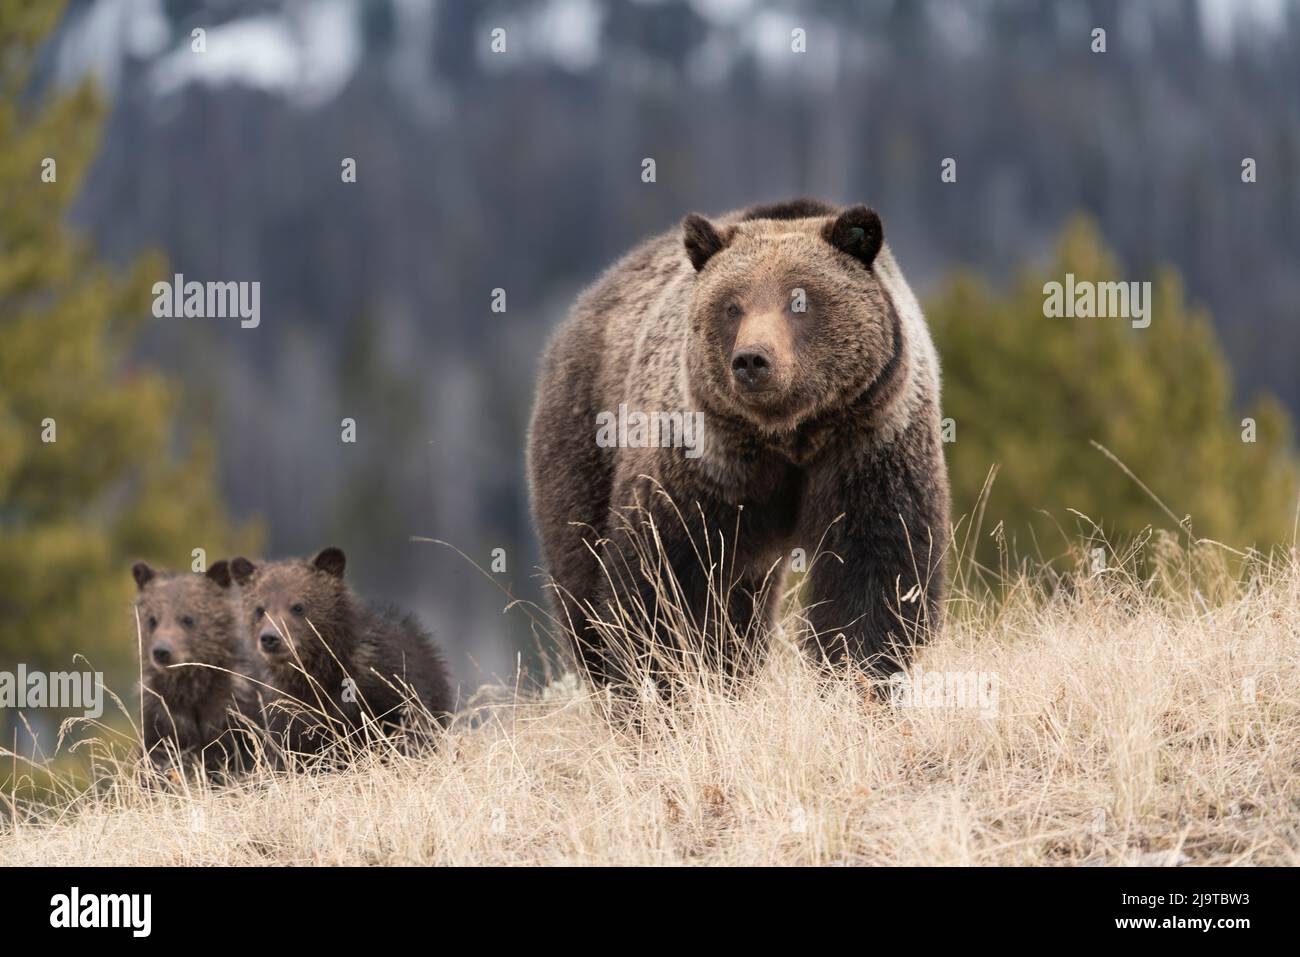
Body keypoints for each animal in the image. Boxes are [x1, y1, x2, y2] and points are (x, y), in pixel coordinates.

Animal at [132, 560, 264, 778]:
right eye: (151, 620)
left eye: (188, 619)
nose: (162, 652)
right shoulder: (162, 714)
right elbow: (157, 757)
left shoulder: (235, 710)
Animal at [228, 547, 453, 763]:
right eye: (259, 609)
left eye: (298, 606)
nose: (270, 638)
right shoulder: (289, 710)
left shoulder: (386, 681)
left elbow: (409, 722)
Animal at [527, 198, 949, 690]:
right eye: (732, 306)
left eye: (799, 301)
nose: (752, 359)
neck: (788, 437)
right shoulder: (705, 463)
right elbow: (664, 574)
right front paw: (665, 680)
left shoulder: (869, 441)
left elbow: (877, 566)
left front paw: (858, 672)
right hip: (582, 435)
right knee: (581, 571)